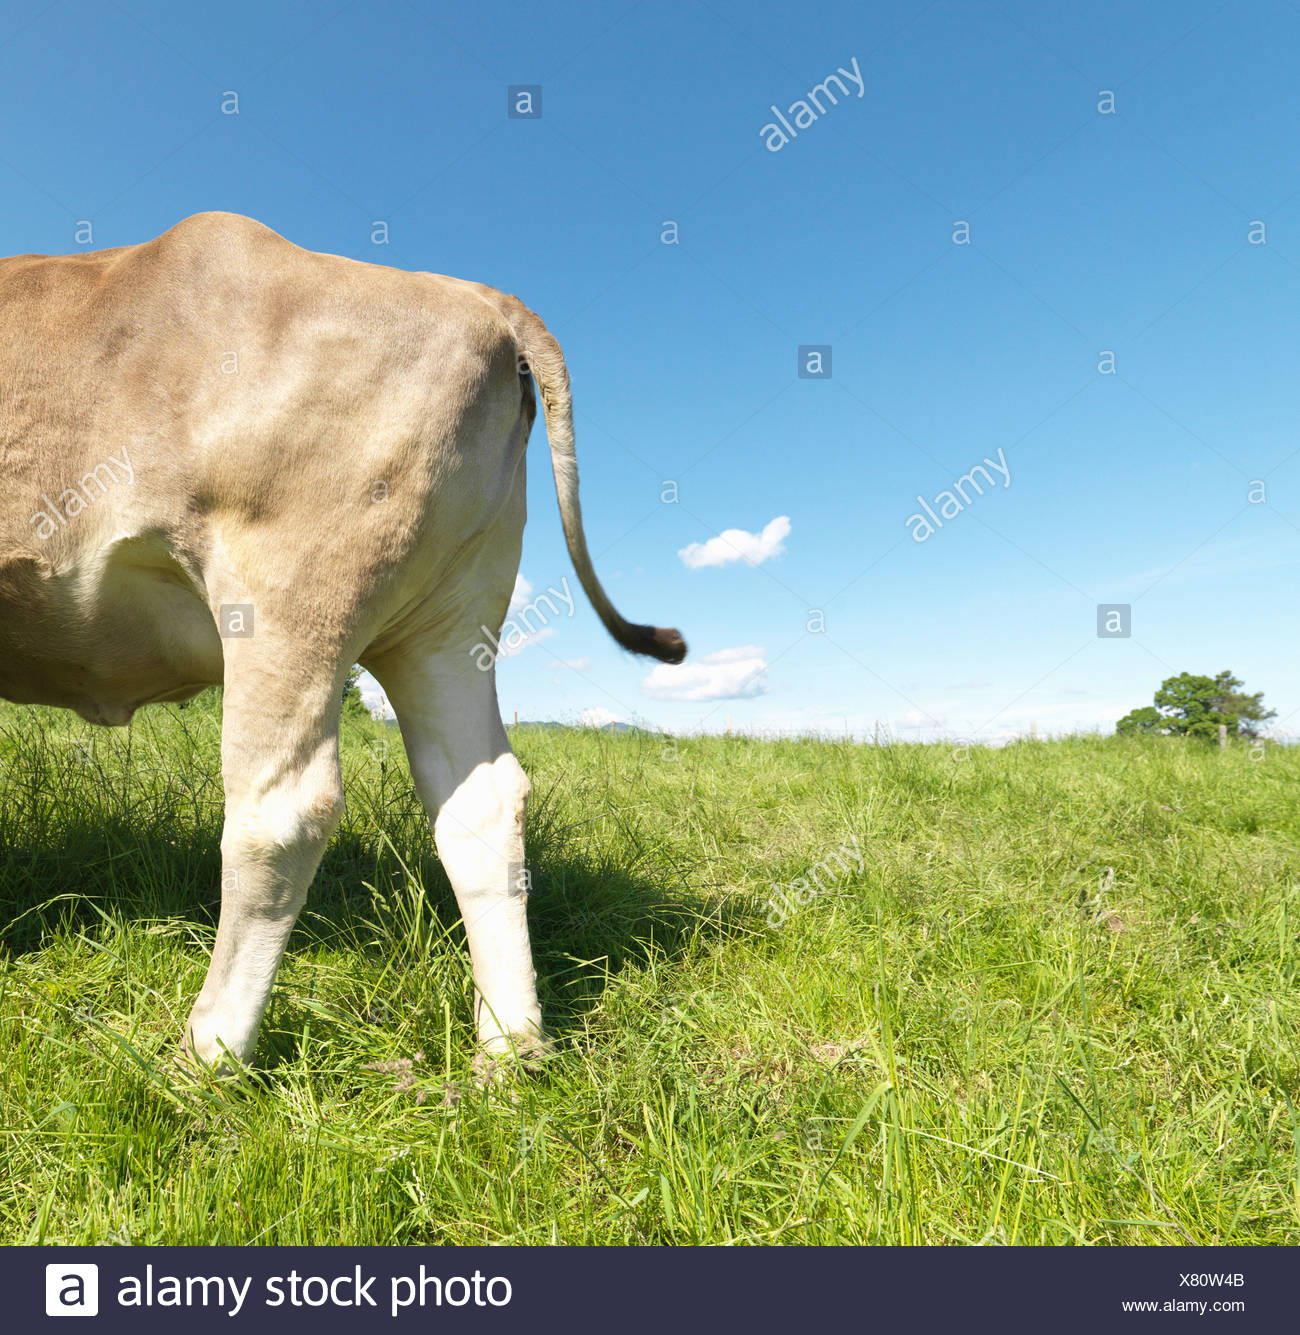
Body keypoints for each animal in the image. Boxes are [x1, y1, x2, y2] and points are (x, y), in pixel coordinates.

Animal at [0, 212, 686, 1069]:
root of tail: (481, 297)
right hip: (448, 621)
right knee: (482, 803)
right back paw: (509, 1047)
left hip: (288, 596)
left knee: (282, 812)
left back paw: (211, 1049)